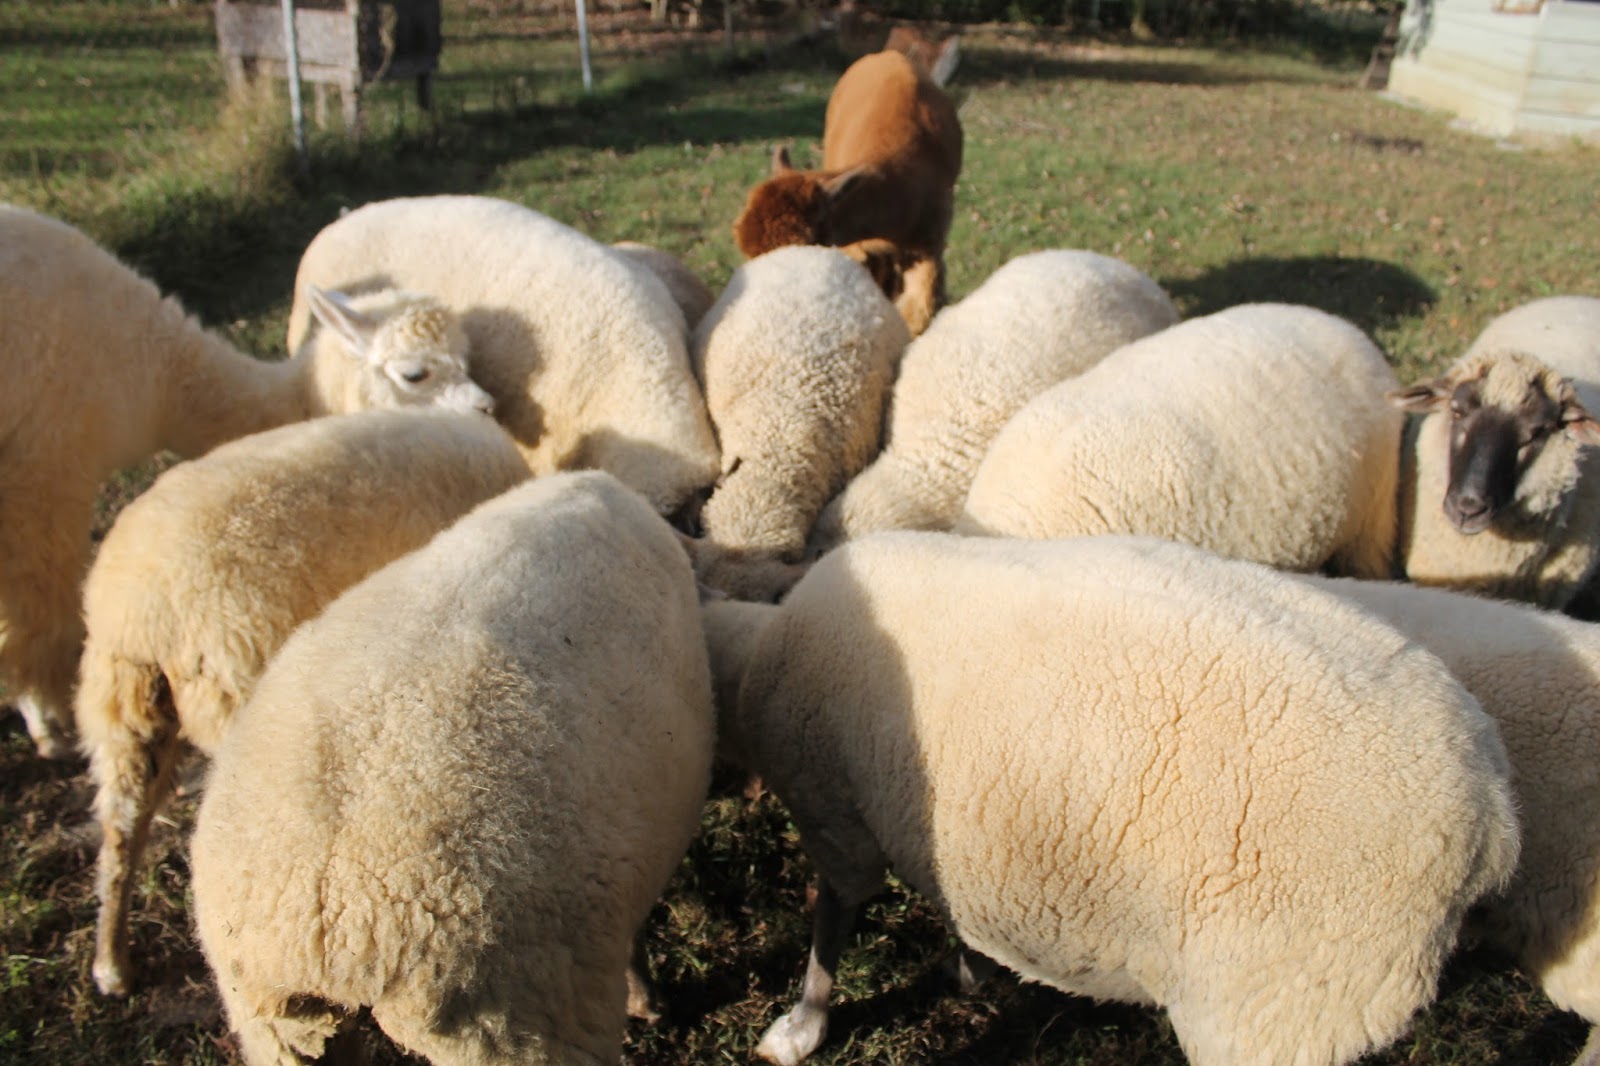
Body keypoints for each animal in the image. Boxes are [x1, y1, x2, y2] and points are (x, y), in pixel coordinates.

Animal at [0, 203, 494, 759]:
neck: (156, 376)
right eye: (415, 374)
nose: (487, 407)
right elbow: (33, 608)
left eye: (468, 359)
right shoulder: (47, 460)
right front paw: (45, 719)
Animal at [702, 531, 1518, 1066]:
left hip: (1278, 1014)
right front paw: (970, 968)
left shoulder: (834, 814)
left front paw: (799, 1027)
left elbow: (832, 922)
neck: (754, 645)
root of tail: (1491, 824)